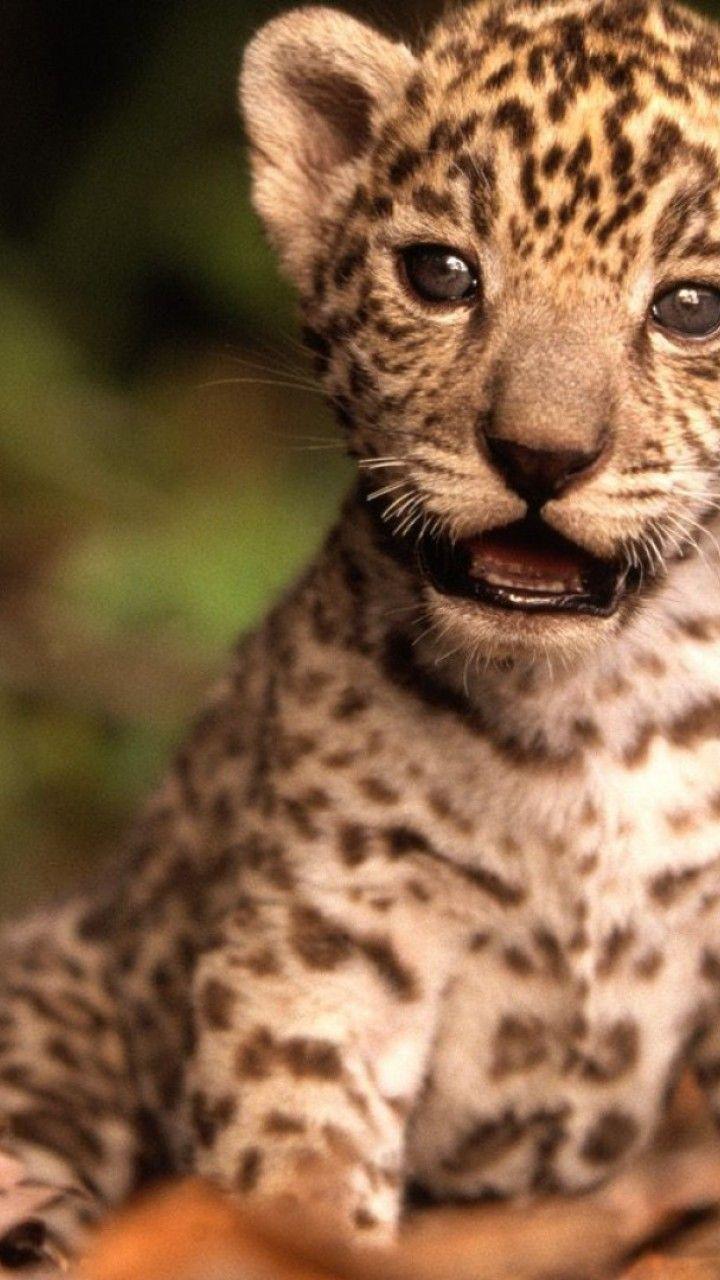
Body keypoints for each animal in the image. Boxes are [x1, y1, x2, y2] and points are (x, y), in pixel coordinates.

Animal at [5, 0, 720, 1268]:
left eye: (691, 308)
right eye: (441, 274)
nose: (540, 455)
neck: (597, 706)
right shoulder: (326, 934)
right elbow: (299, 1152)